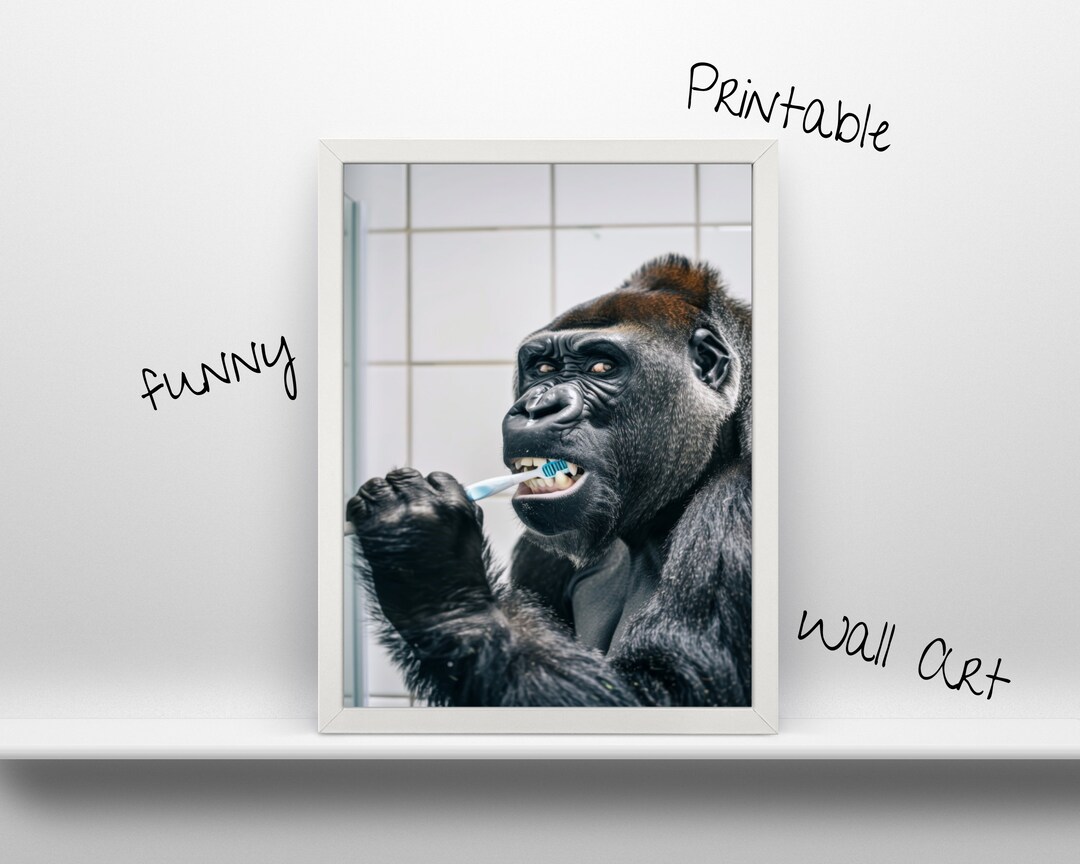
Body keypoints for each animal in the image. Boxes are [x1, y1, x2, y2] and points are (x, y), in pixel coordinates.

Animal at [346, 254, 751, 707]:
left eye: (602, 366)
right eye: (541, 369)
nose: (536, 406)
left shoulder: (738, 503)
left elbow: (663, 692)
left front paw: (429, 567)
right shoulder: (540, 552)